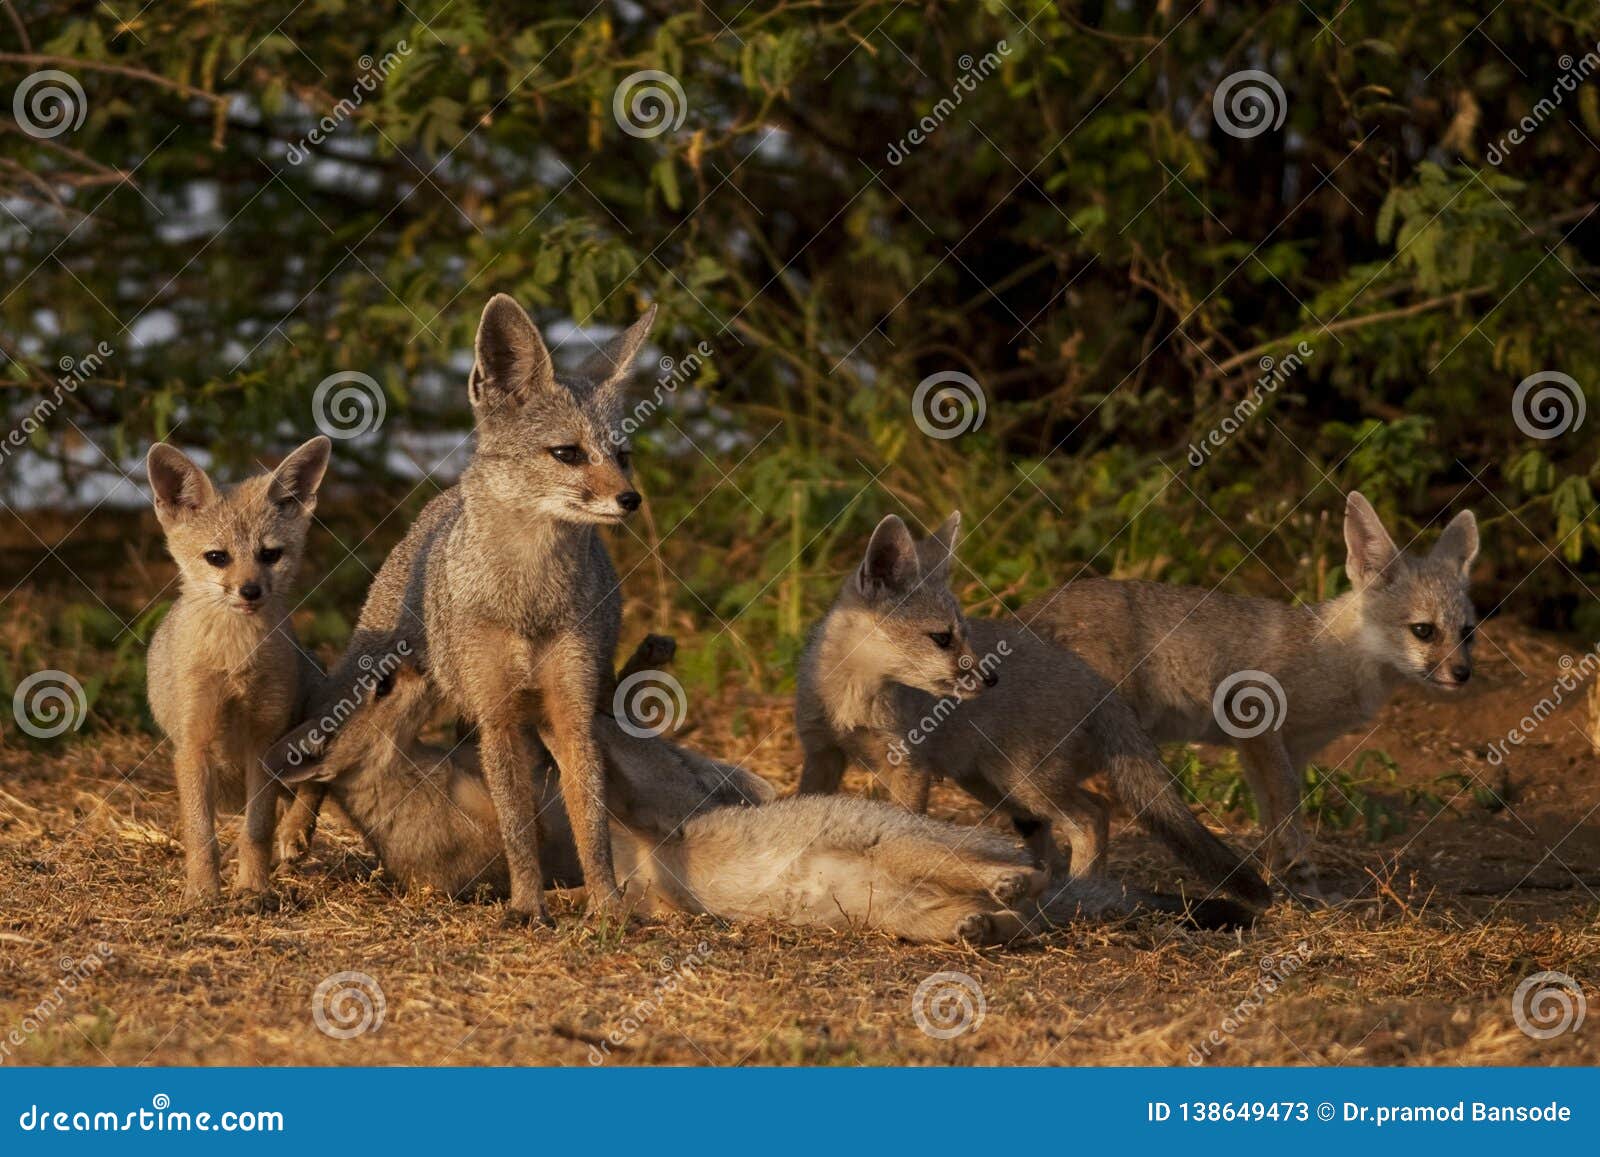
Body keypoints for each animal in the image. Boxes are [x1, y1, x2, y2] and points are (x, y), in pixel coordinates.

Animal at [144, 436, 332, 907]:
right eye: (217, 557)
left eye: (270, 555)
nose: (250, 591)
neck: (235, 660)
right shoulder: (192, 744)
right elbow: (200, 834)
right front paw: (202, 894)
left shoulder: (263, 742)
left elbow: (257, 830)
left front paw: (254, 889)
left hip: (306, 727)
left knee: (319, 779)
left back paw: (296, 833)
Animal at [264, 639, 1254, 940]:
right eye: (382, 686)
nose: (407, 659)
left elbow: (599, 753)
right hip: (909, 885)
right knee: (1004, 893)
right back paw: (999, 908)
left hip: (924, 839)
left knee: (1029, 867)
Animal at [330, 292, 656, 926]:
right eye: (567, 453)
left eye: (623, 455)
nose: (629, 499)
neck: (529, 602)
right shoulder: (497, 715)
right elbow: (516, 828)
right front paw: (528, 906)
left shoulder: (571, 712)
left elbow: (591, 822)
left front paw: (606, 905)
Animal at [795, 512, 1272, 910]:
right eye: (942, 639)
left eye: (963, 634)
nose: (990, 679)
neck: (851, 699)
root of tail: (1096, 682)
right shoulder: (821, 752)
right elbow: (805, 804)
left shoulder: (908, 765)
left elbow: (906, 827)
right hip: (997, 787)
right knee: (1057, 835)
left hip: (1024, 782)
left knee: (1094, 814)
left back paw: (1083, 889)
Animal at [1016, 490, 1479, 889]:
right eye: (1424, 631)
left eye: (1467, 633)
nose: (1462, 673)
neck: (1336, 654)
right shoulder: (1260, 728)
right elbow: (1288, 808)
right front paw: (1302, 878)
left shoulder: (1286, 750)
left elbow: (1274, 819)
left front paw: (1279, 878)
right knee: (1083, 818)